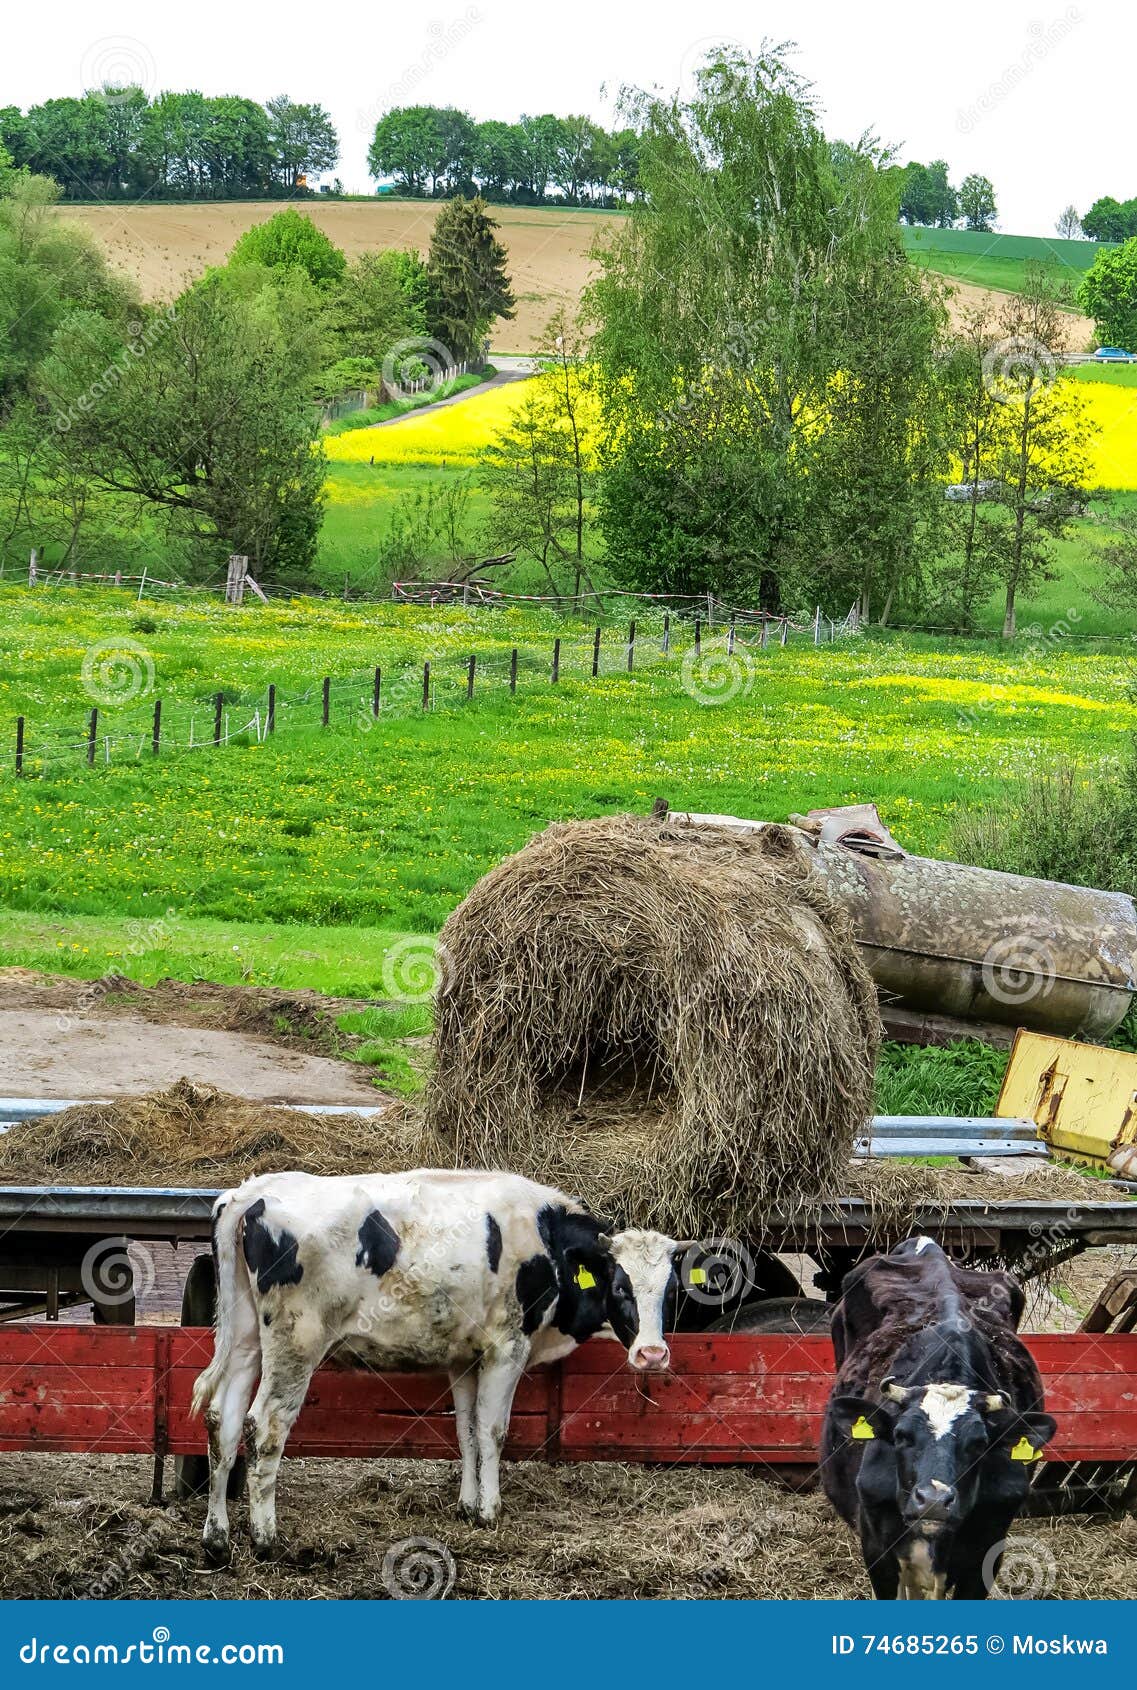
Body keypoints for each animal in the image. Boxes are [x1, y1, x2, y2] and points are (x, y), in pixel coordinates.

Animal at [191, 1167, 693, 1563]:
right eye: (620, 1286)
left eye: (670, 1291)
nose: (652, 1354)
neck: (545, 1239)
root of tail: (251, 1192)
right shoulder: (507, 1349)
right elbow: (493, 1431)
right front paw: (490, 1511)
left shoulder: (464, 1358)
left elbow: (466, 1431)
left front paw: (468, 1506)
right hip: (296, 1342)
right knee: (265, 1425)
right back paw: (265, 1538)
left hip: (245, 1339)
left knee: (223, 1420)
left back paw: (217, 1537)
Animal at [820, 1236, 1056, 1600]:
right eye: (901, 1436)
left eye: (979, 1444)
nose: (933, 1501)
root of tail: (926, 1244)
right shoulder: (877, 1552)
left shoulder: (986, 1555)